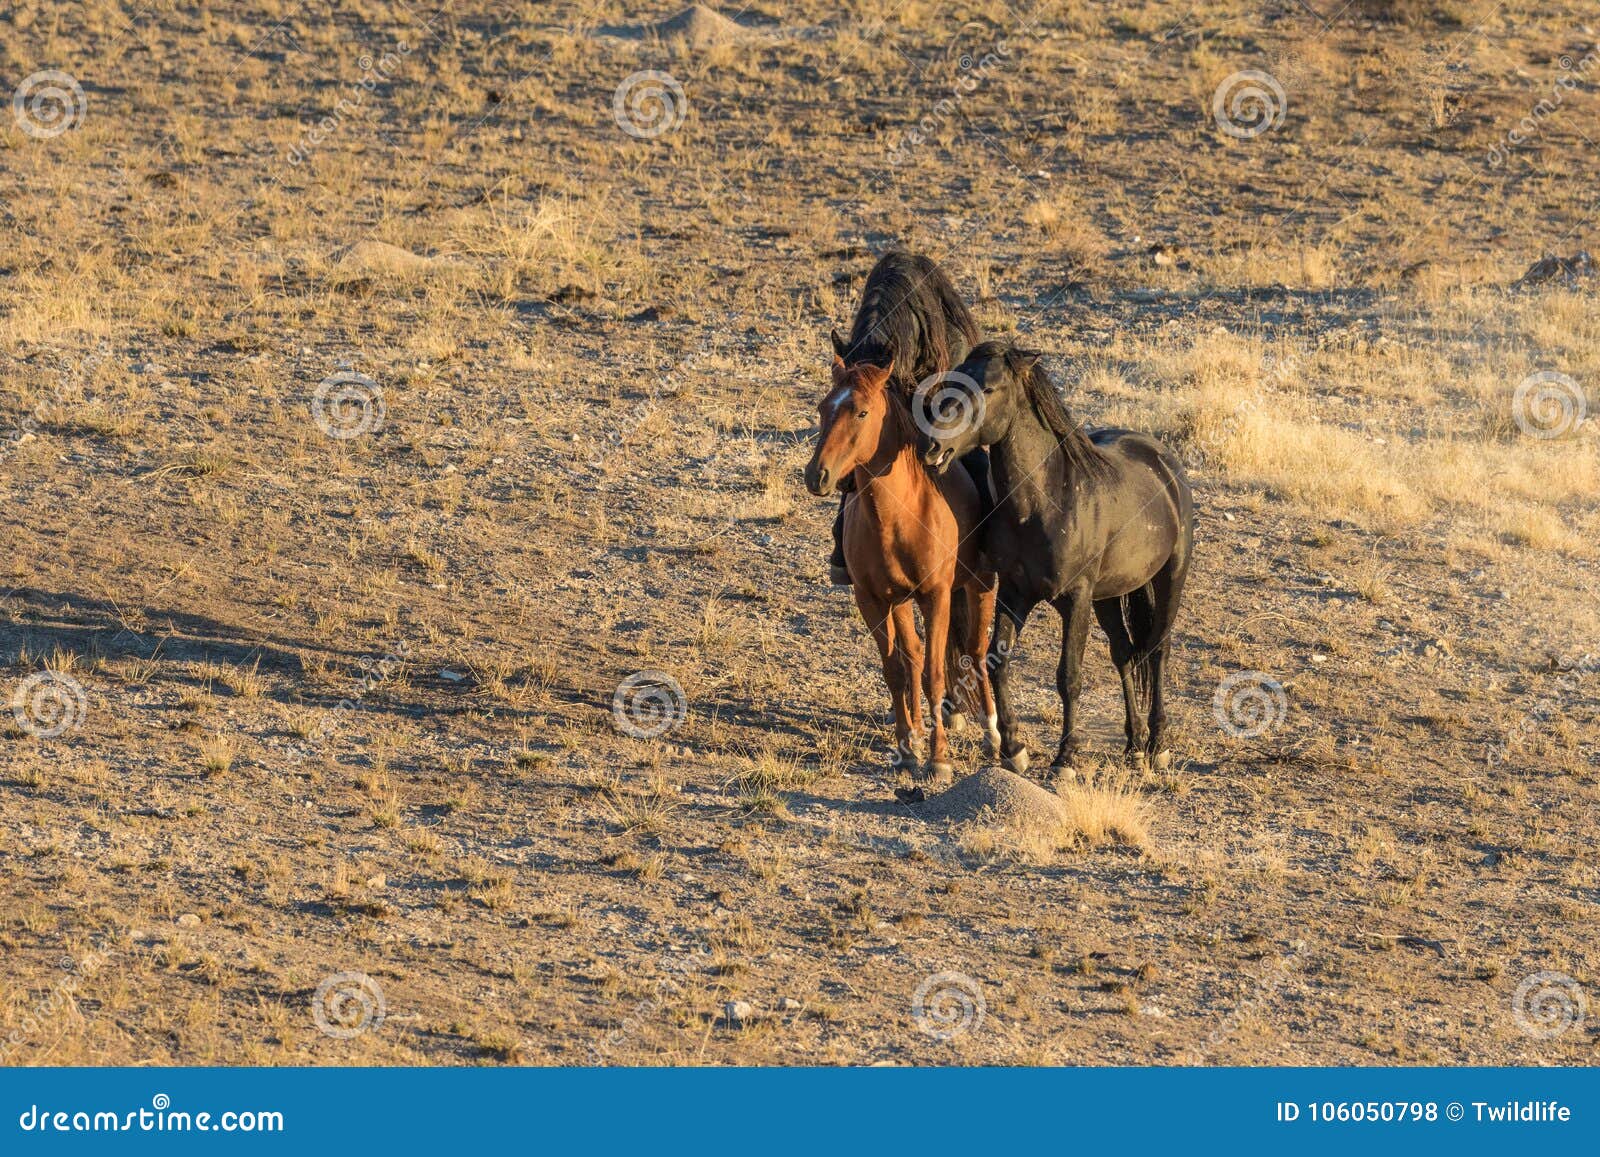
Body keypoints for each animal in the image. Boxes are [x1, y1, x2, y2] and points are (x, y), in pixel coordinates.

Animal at [805, 357, 1000, 780]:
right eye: (823, 407)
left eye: (861, 412)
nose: (817, 476)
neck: (900, 515)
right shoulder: (873, 599)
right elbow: (896, 669)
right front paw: (909, 746)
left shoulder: (936, 597)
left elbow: (934, 674)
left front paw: (939, 758)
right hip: (901, 601)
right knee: (912, 656)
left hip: (979, 585)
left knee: (976, 650)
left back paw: (995, 736)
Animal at [922, 341, 1194, 778]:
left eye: (990, 388)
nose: (933, 447)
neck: (1044, 502)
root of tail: (1163, 460)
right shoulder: (1014, 594)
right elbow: (999, 662)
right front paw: (1013, 749)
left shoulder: (1076, 599)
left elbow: (1069, 676)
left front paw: (1066, 757)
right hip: (1108, 597)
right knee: (1124, 653)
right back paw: (1134, 744)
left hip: (1170, 578)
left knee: (1157, 650)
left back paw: (1157, 744)